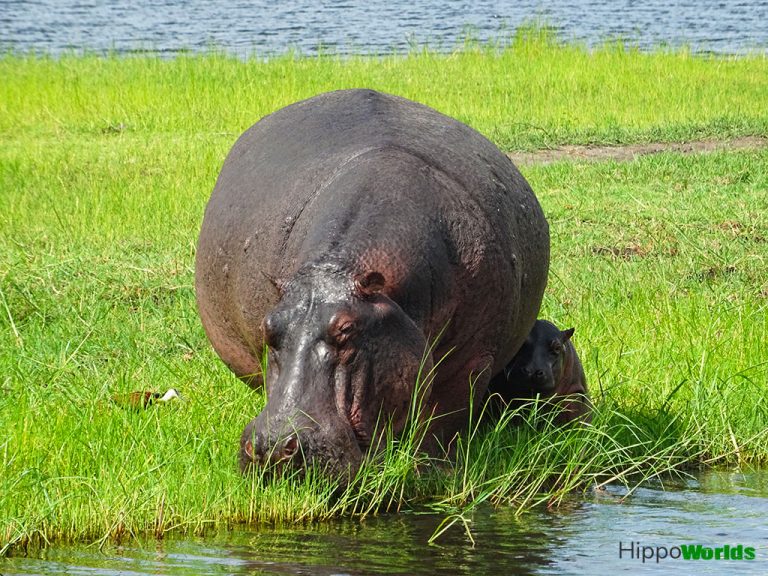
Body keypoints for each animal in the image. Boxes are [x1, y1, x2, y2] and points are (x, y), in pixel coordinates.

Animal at [194, 89, 550, 479]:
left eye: (347, 330)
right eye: (268, 328)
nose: (273, 447)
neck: (339, 266)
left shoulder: (470, 358)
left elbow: (440, 424)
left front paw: (430, 475)